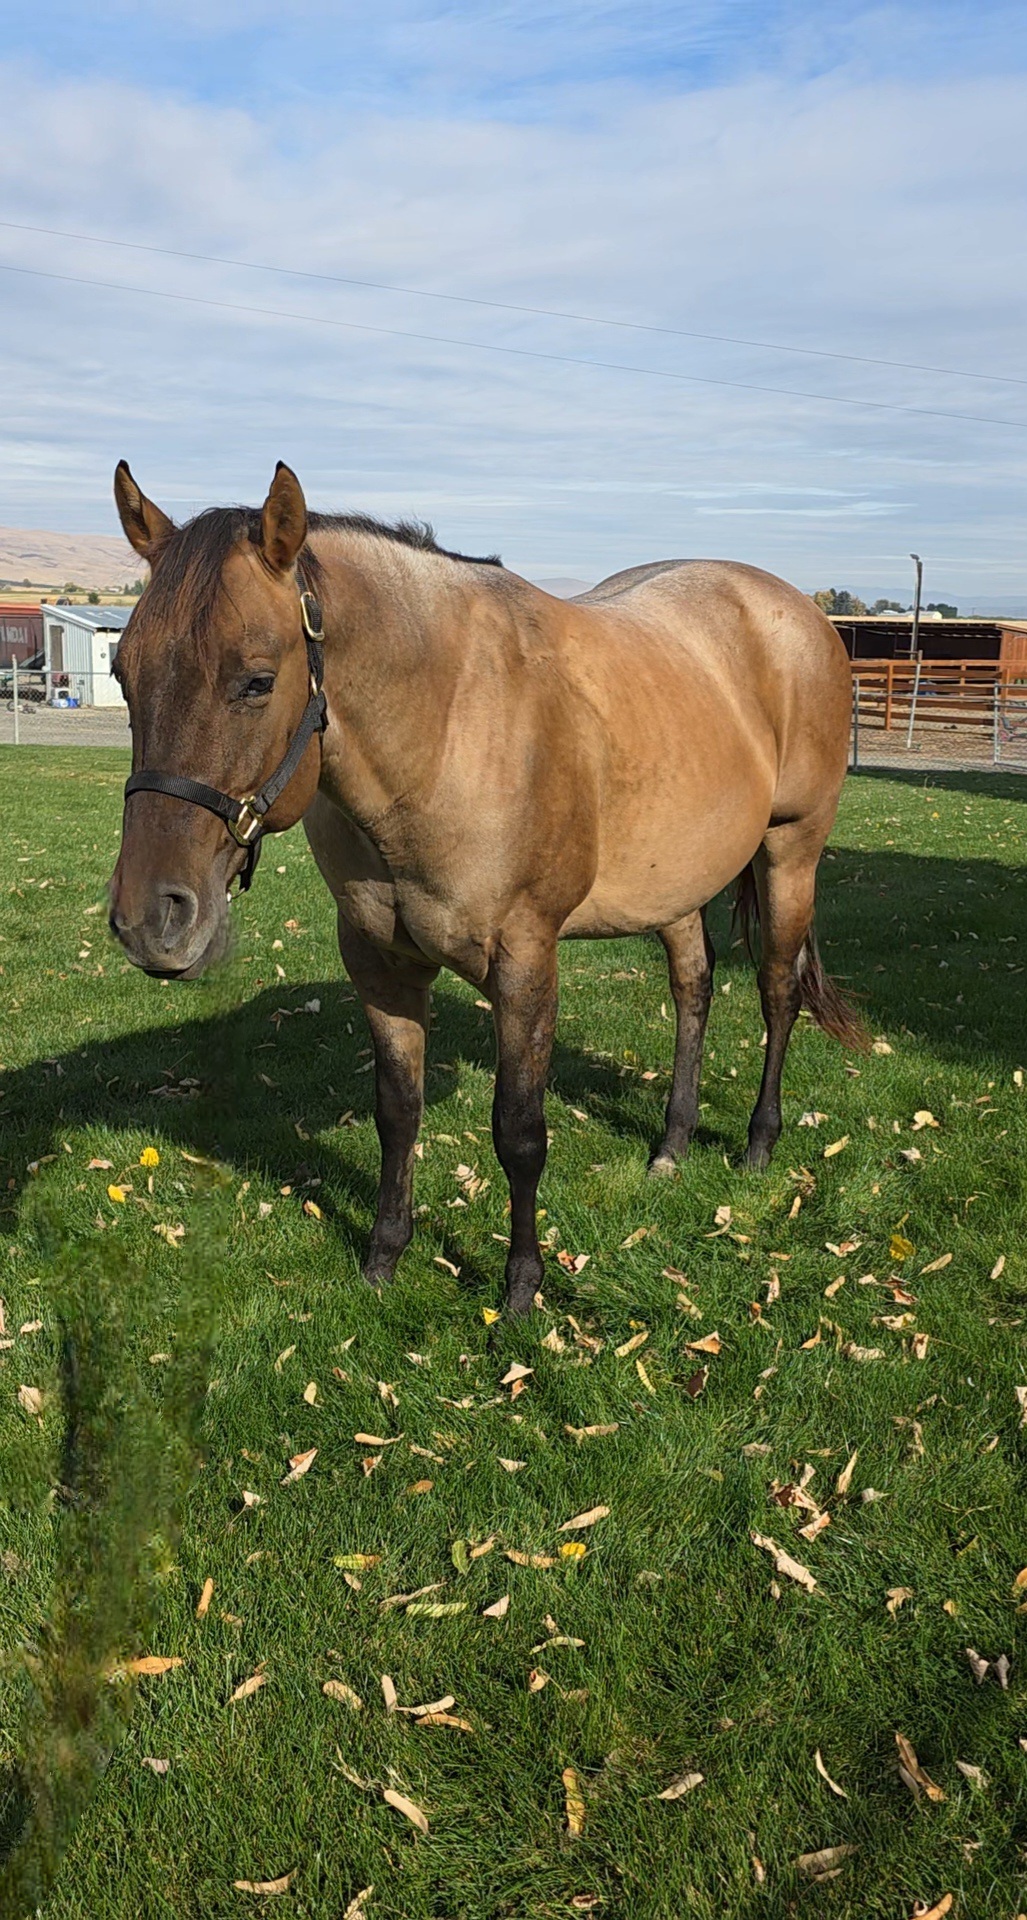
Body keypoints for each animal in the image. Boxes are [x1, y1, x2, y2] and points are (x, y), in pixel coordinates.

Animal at [108, 460, 865, 1315]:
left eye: (257, 681)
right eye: (123, 674)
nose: (150, 920)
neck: (445, 728)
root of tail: (798, 613)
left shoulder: (525, 962)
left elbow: (519, 1131)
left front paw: (521, 1286)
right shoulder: (378, 961)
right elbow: (397, 1112)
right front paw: (384, 1256)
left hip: (789, 853)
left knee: (776, 990)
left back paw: (758, 1143)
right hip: (677, 883)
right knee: (693, 988)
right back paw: (671, 1143)